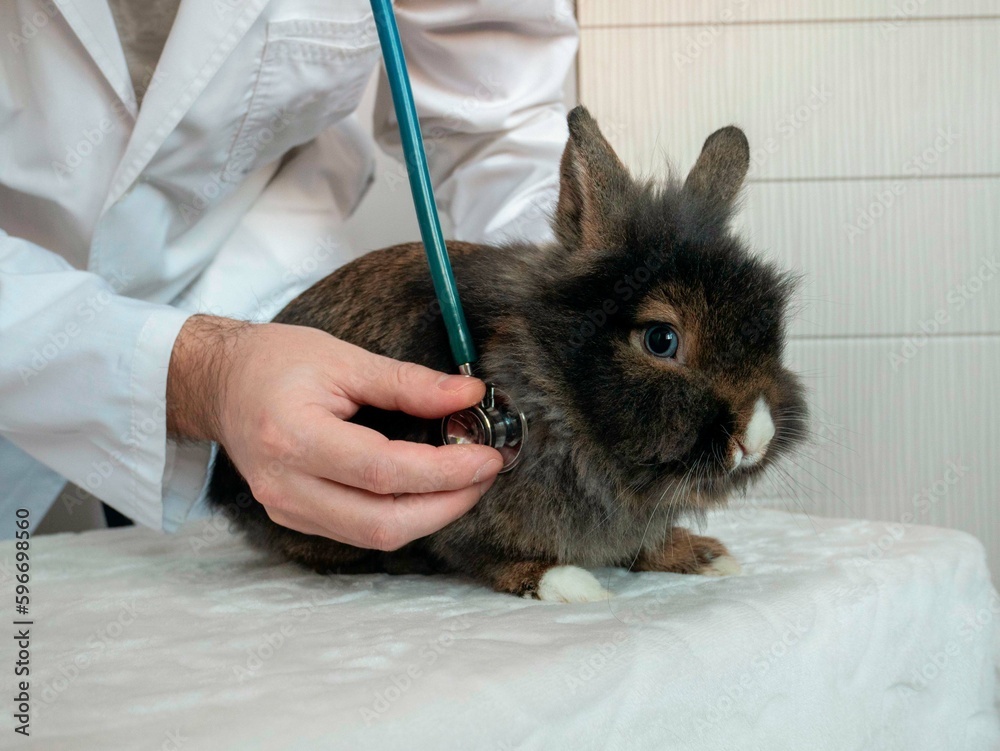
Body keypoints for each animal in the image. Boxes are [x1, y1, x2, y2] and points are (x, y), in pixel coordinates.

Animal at [207, 106, 807, 603]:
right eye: (662, 340)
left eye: (773, 320)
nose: (757, 437)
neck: (558, 392)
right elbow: (485, 555)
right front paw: (566, 584)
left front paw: (705, 557)